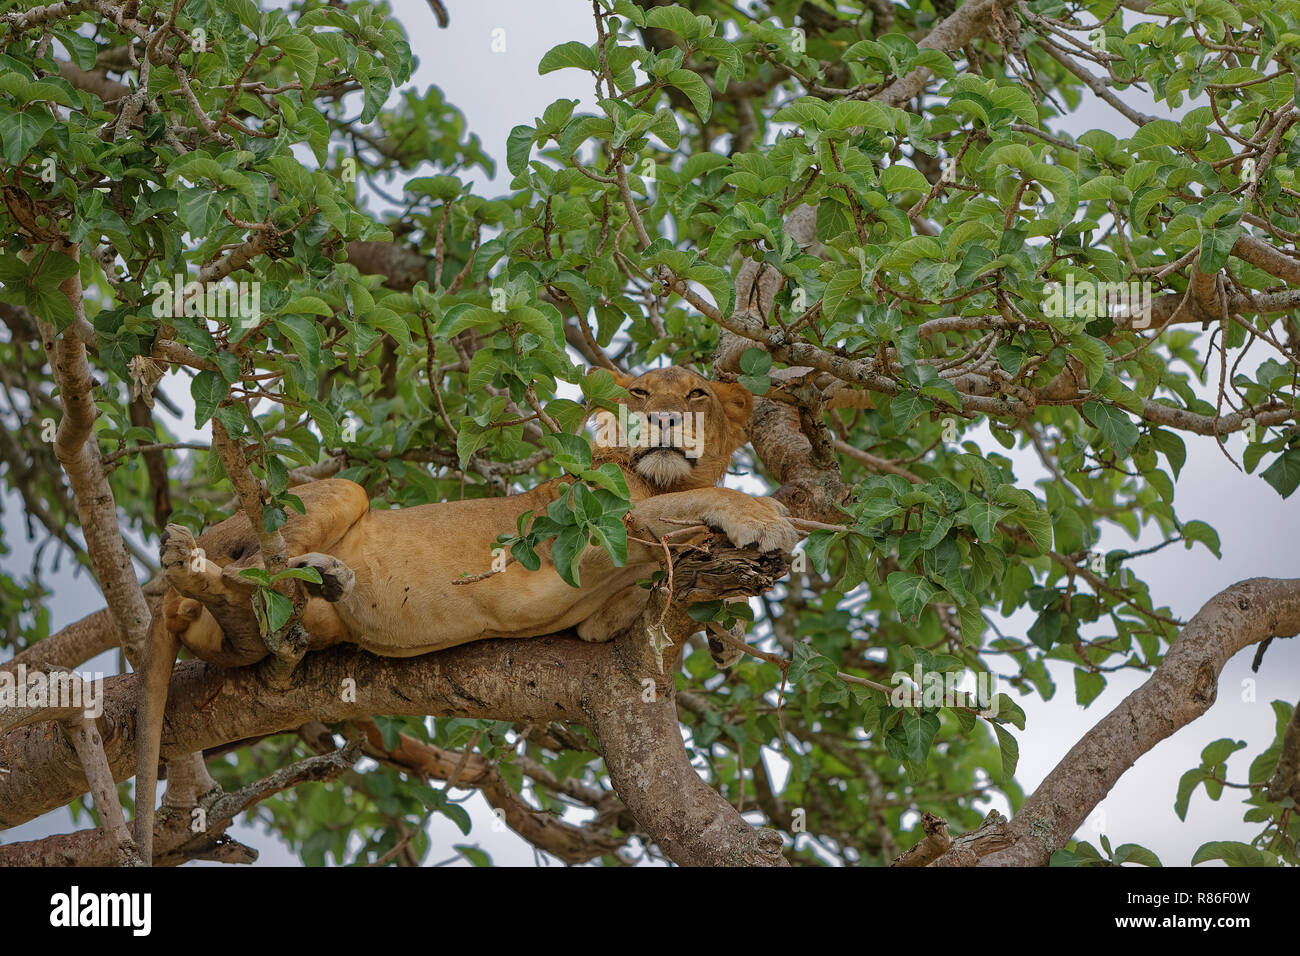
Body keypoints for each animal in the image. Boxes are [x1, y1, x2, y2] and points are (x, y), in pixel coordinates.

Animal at [133, 365, 800, 861]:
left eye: (696, 394)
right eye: (639, 392)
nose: (664, 418)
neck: (656, 480)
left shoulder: (601, 614)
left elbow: (663, 572)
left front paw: (726, 631)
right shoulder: (587, 529)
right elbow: (700, 499)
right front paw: (767, 519)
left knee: (236, 632)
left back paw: (322, 582)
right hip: (339, 494)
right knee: (235, 580)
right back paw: (252, 572)